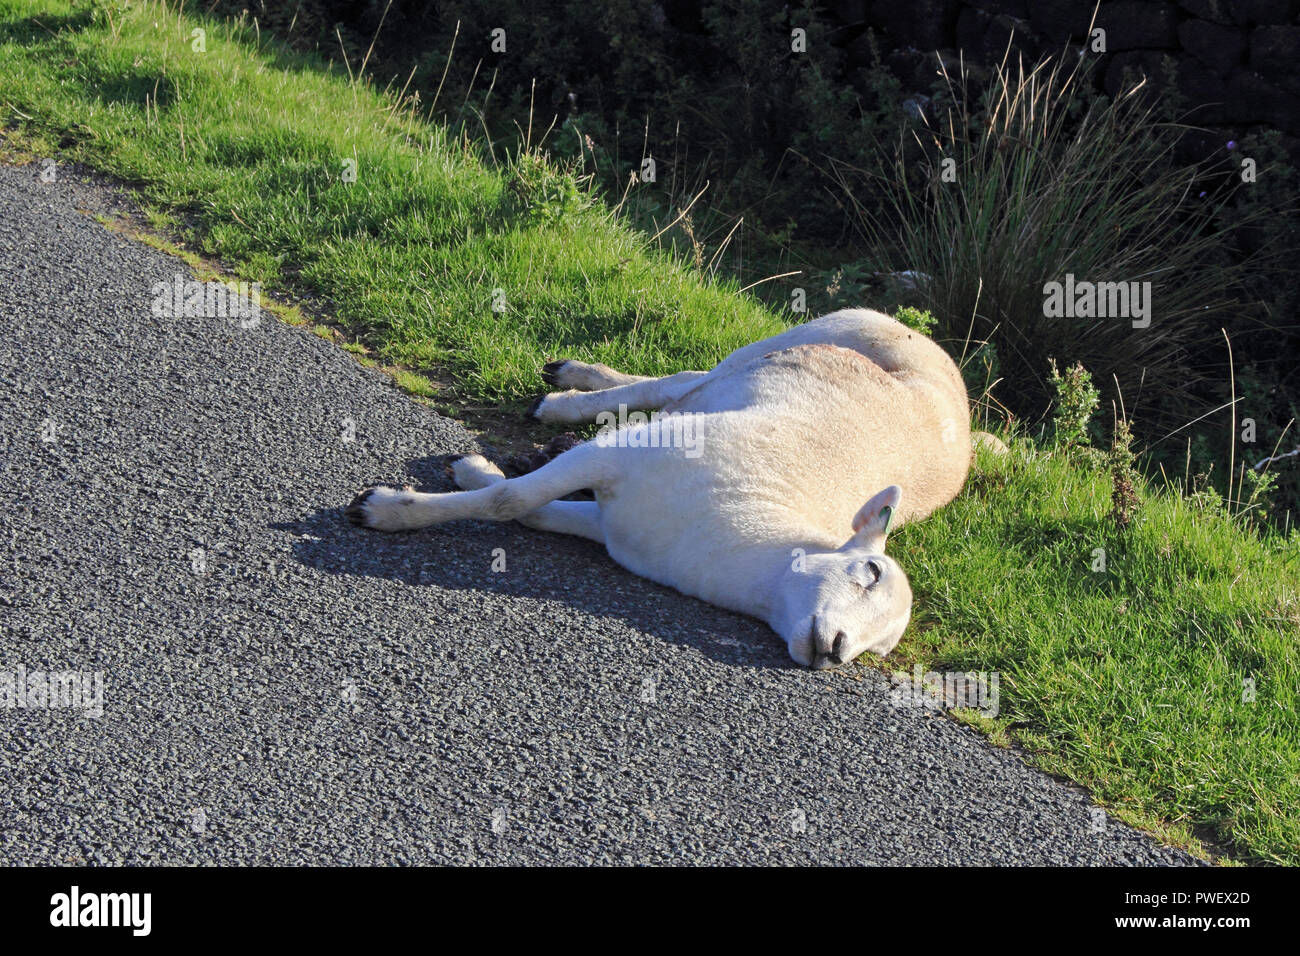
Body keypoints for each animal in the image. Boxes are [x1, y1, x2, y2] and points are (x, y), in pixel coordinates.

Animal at [346, 308, 980, 668]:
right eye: (869, 572)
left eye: (879, 650)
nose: (836, 652)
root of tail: (943, 359)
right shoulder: (619, 452)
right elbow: (513, 500)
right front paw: (386, 509)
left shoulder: (612, 525)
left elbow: (531, 510)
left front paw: (475, 471)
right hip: (791, 339)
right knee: (677, 381)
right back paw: (563, 394)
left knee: (682, 383)